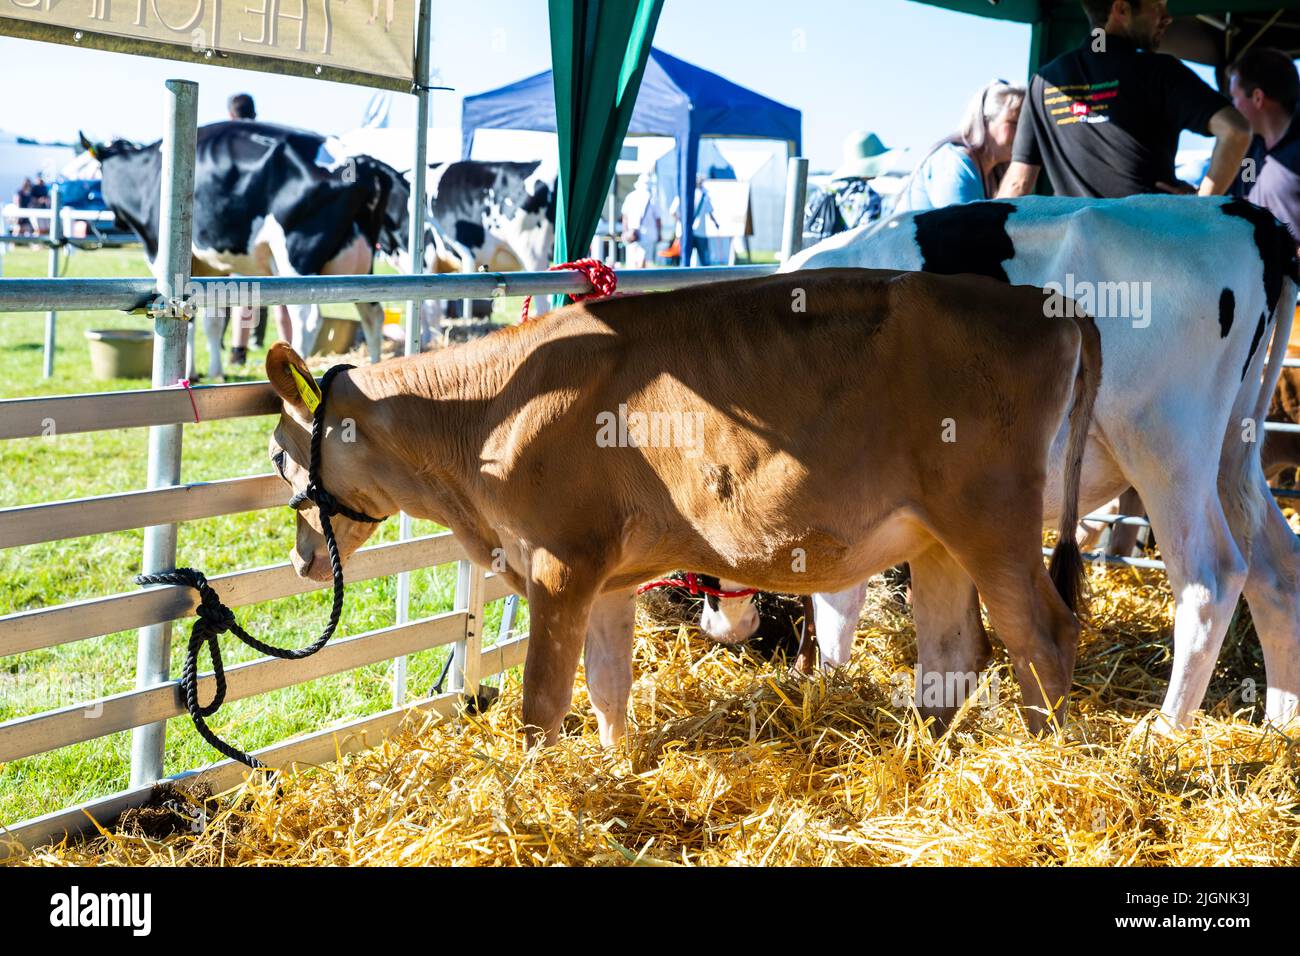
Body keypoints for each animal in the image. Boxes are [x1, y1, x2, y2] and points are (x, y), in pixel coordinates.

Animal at [83, 121, 411, 379]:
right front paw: (211, 372)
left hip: (298, 256)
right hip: (359, 265)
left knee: (307, 318)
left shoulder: (159, 251)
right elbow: (211, 321)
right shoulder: (210, 267)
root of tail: (363, 162)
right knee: (373, 313)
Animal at [264, 268, 1100, 744]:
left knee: (1045, 636)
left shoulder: (560, 563)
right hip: (933, 536)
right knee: (957, 651)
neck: (492, 412)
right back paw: (919, 757)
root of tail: (1046, 302)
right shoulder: (603, 579)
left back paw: (1046, 761)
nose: (303, 561)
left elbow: (542, 700)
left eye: (275, 454)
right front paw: (619, 770)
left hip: (991, 517)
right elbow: (607, 689)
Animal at [703, 195, 1300, 733]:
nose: (721, 625)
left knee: (1211, 580)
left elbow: (836, 606)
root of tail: (1250, 216)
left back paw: (1161, 735)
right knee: (1277, 573)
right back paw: (1280, 724)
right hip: (1233, 449)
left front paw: (827, 690)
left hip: (1166, 447)